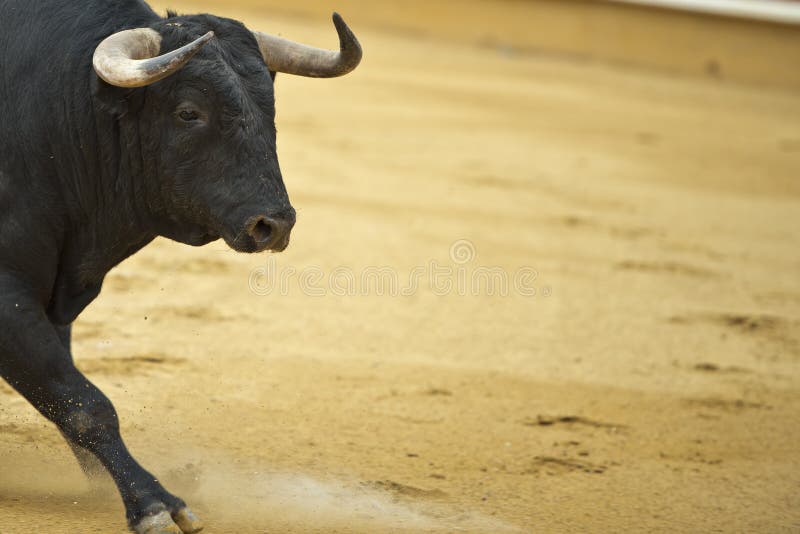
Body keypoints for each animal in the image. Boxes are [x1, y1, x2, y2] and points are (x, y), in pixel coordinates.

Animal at [0, 0, 361, 532]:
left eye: (270, 107)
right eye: (189, 112)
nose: (273, 224)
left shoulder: (51, 296)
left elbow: (63, 395)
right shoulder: (9, 297)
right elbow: (83, 402)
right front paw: (152, 502)